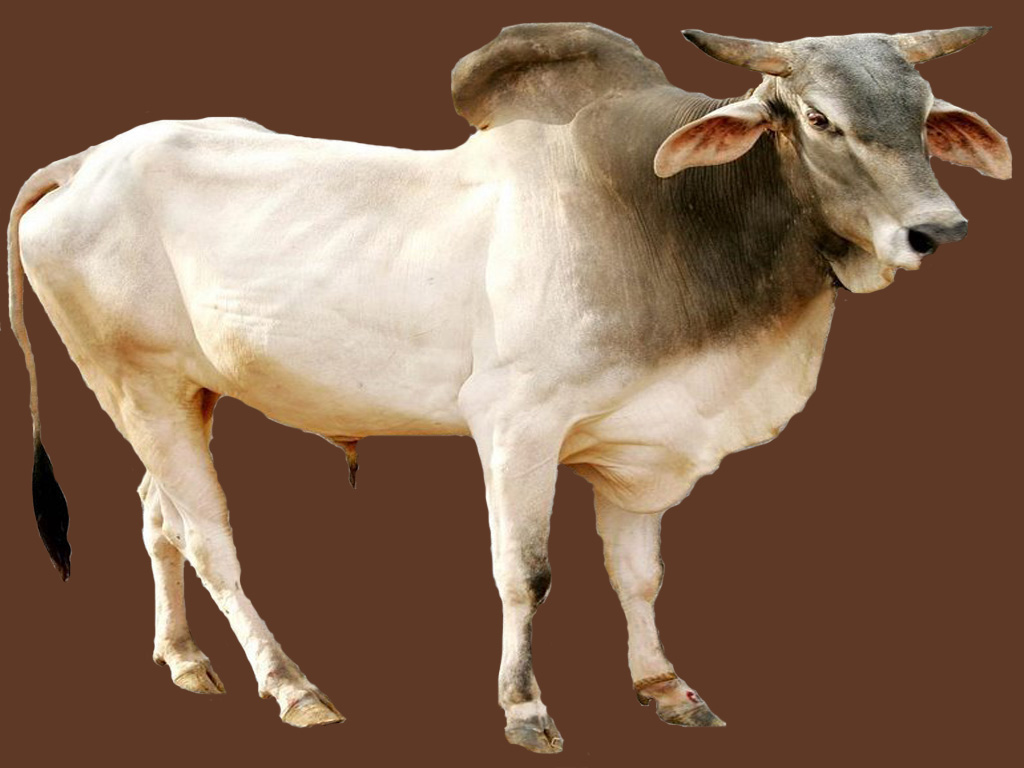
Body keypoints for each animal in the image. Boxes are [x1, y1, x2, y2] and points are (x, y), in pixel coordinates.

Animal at [6, 22, 1010, 754]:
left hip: (181, 395)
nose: (938, 229)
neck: (669, 217)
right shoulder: (518, 429)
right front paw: (525, 710)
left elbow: (639, 575)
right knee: (210, 540)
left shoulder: (641, 447)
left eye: (924, 113)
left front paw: (663, 686)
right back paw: (291, 686)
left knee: (157, 514)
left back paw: (183, 658)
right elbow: (525, 574)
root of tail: (84, 161)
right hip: (135, 384)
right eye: (818, 118)